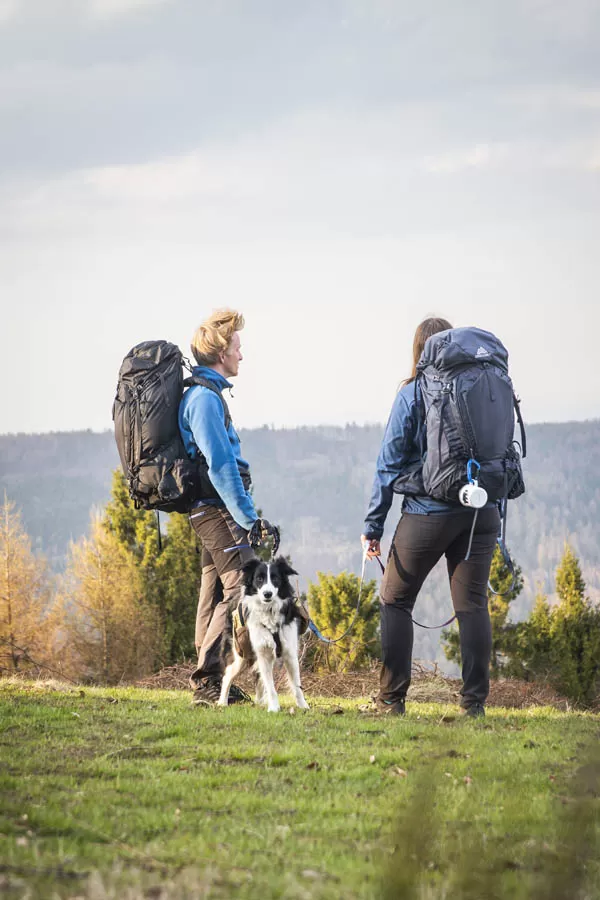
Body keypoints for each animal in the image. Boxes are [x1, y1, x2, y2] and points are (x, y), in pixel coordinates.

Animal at [217, 556, 310, 712]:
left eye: (275, 578)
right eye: (259, 579)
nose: (267, 594)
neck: (269, 609)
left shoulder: (289, 652)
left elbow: (297, 685)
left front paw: (303, 706)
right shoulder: (263, 653)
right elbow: (270, 686)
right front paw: (274, 708)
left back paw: (259, 702)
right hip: (240, 654)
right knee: (228, 675)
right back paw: (222, 702)